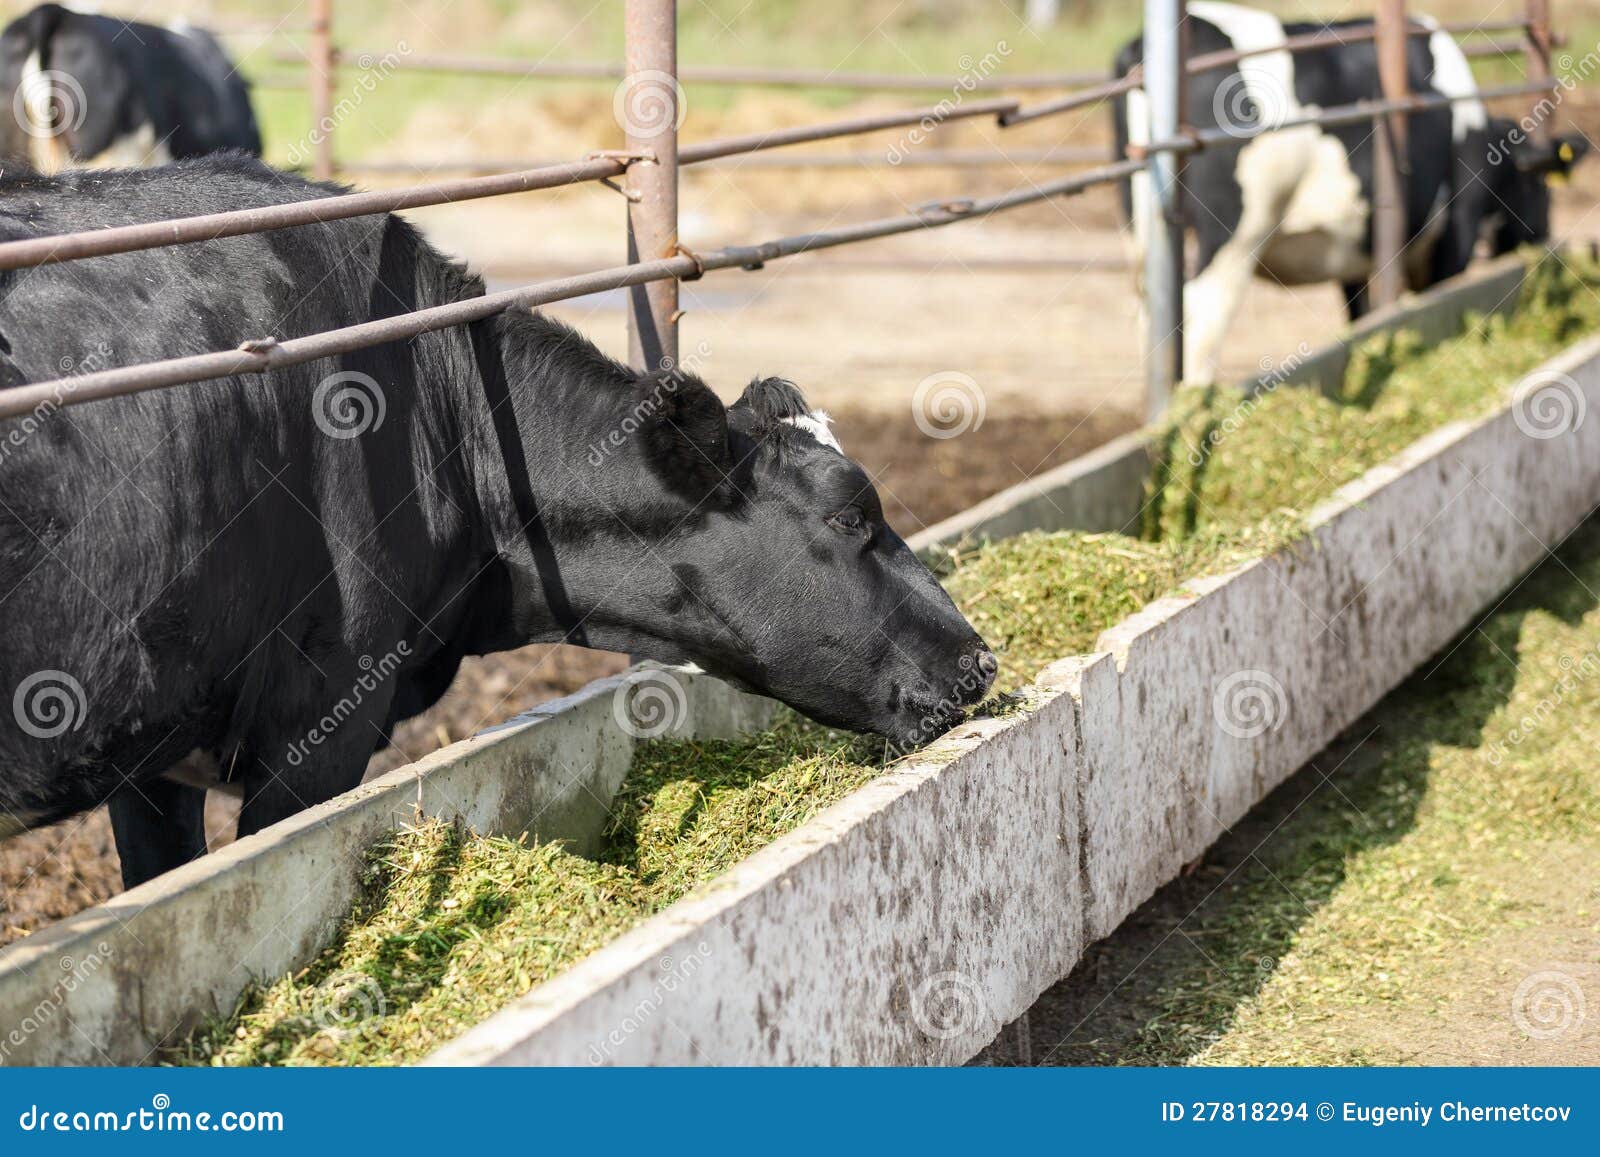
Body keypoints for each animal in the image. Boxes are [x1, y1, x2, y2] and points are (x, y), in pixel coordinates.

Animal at [1114, 1, 1588, 384]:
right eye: (1538, 188)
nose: (1544, 234)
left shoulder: (1355, 252)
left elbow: (1362, 318)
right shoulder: (1453, 237)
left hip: (1146, 236)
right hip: (1234, 236)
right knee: (1198, 326)